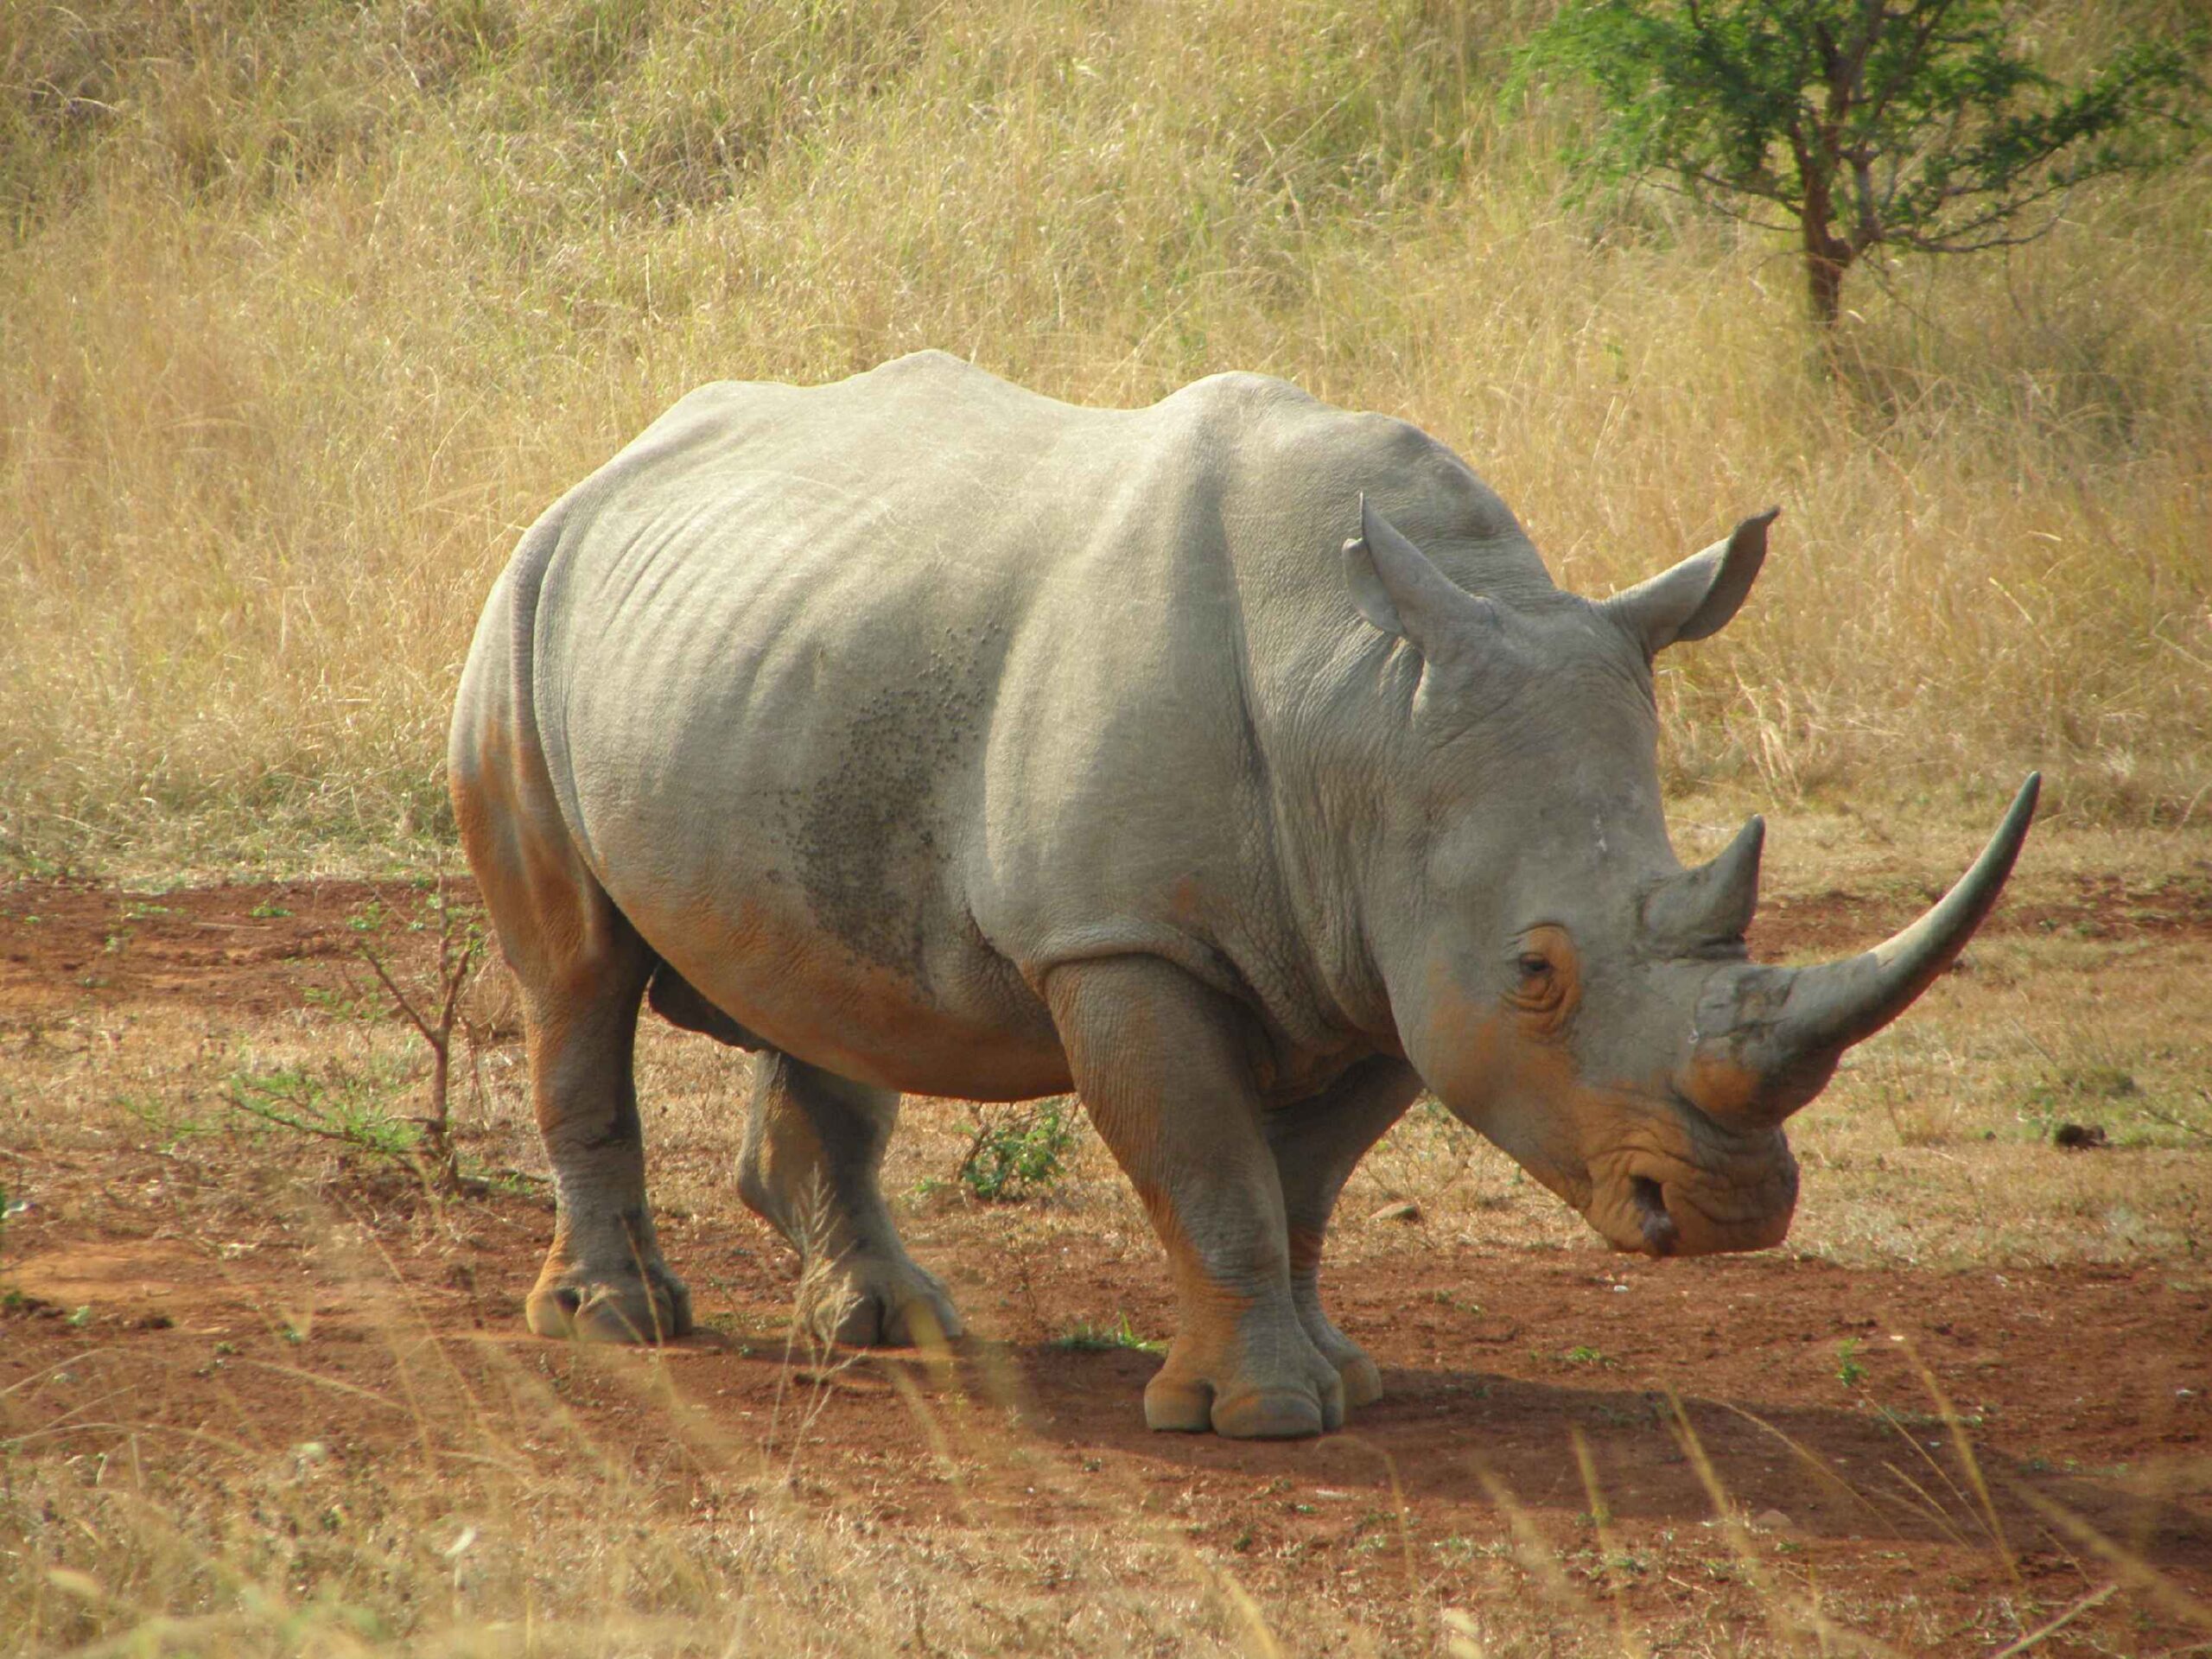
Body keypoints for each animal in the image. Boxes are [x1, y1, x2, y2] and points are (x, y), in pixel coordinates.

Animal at [449, 351, 2036, 1439]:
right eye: (1539, 972)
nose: (1728, 1209)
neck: (1366, 706)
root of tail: (613, 463)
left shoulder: (1391, 958)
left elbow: (1303, 1184)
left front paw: (1343, 1380)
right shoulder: (1127, 943)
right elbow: (1209, 1166)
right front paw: (1259, 1420)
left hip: (771, 658)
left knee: (825, 995)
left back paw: (900, 1332)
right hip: (522, 608)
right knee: (575, 976)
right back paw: (615, 1327)